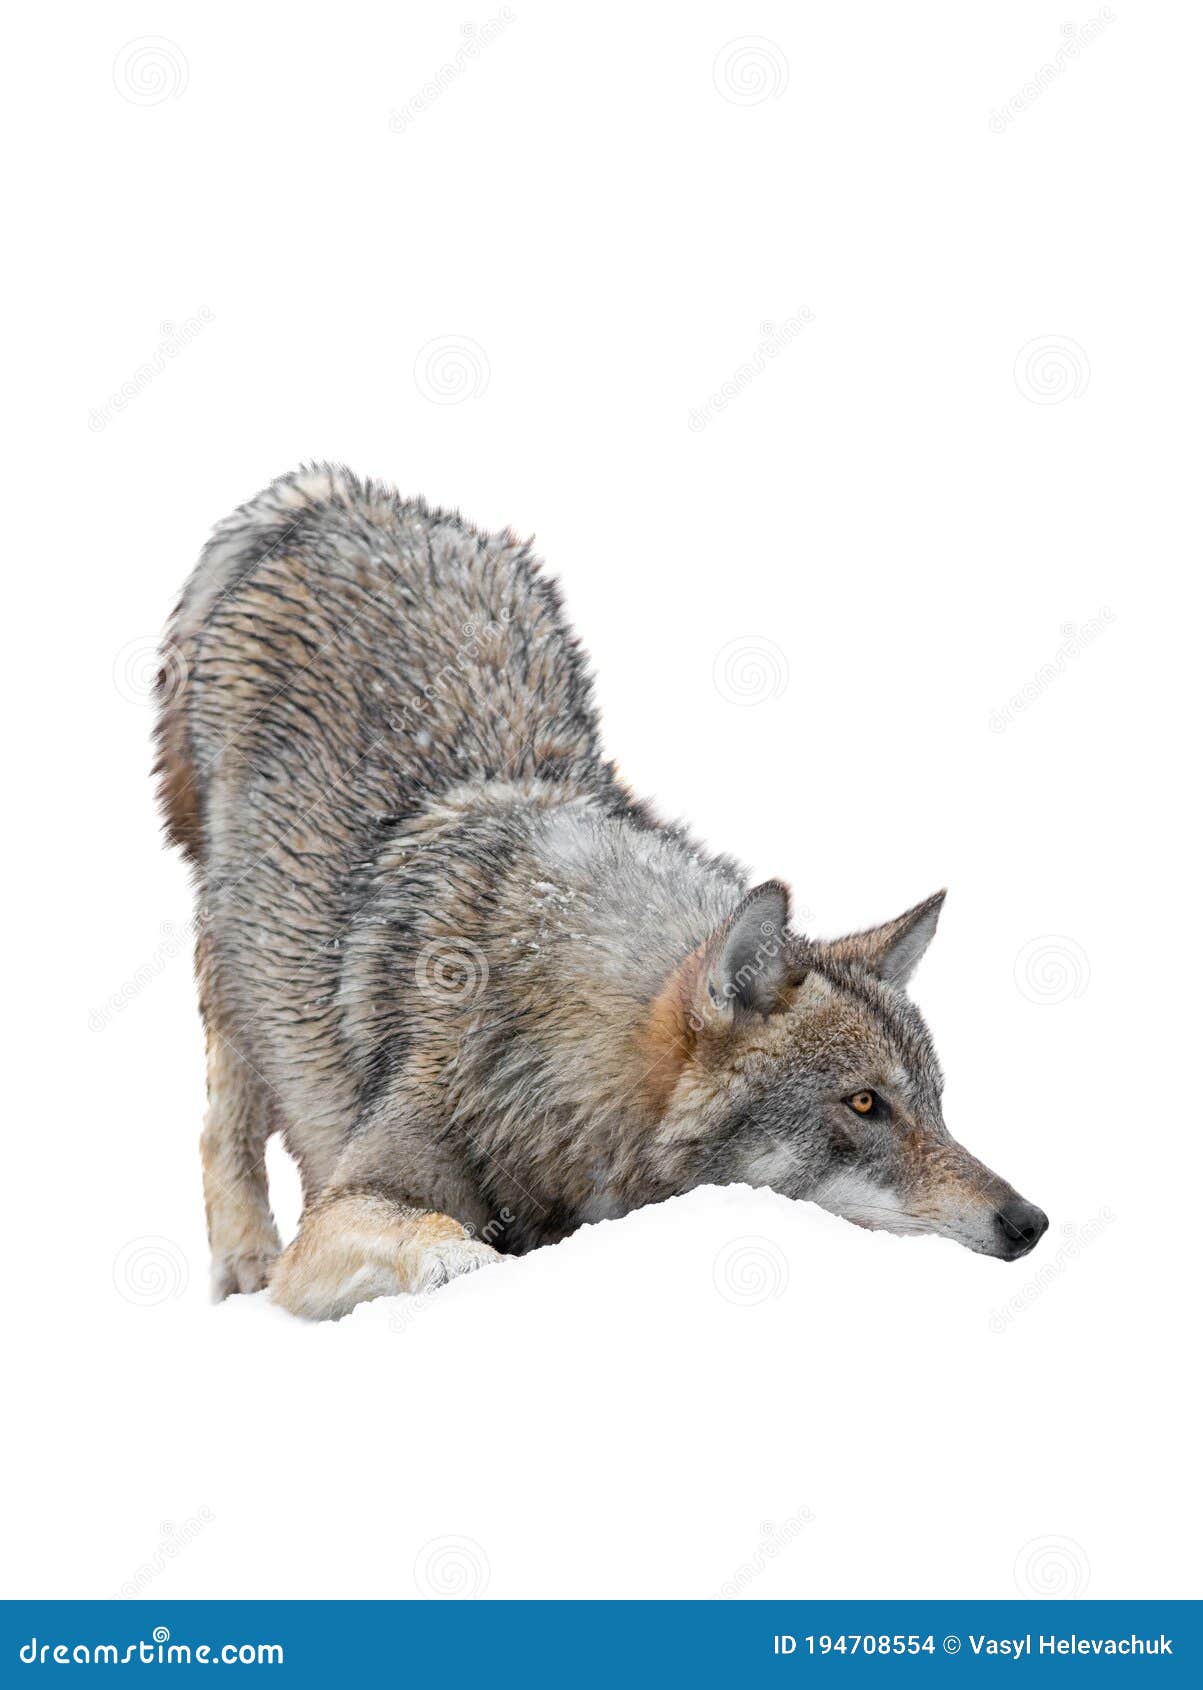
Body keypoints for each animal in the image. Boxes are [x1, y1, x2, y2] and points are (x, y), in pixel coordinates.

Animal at [155, 464, 1048, 1320]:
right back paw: (242, 1264)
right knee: (222, 1123)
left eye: (935, 1103)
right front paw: (465, 1266)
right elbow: (428, 1231)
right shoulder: (341, 1213)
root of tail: (338, 494)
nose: (1028, 1221)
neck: (537, 1045)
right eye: (863, 1103)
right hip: (233, 970)